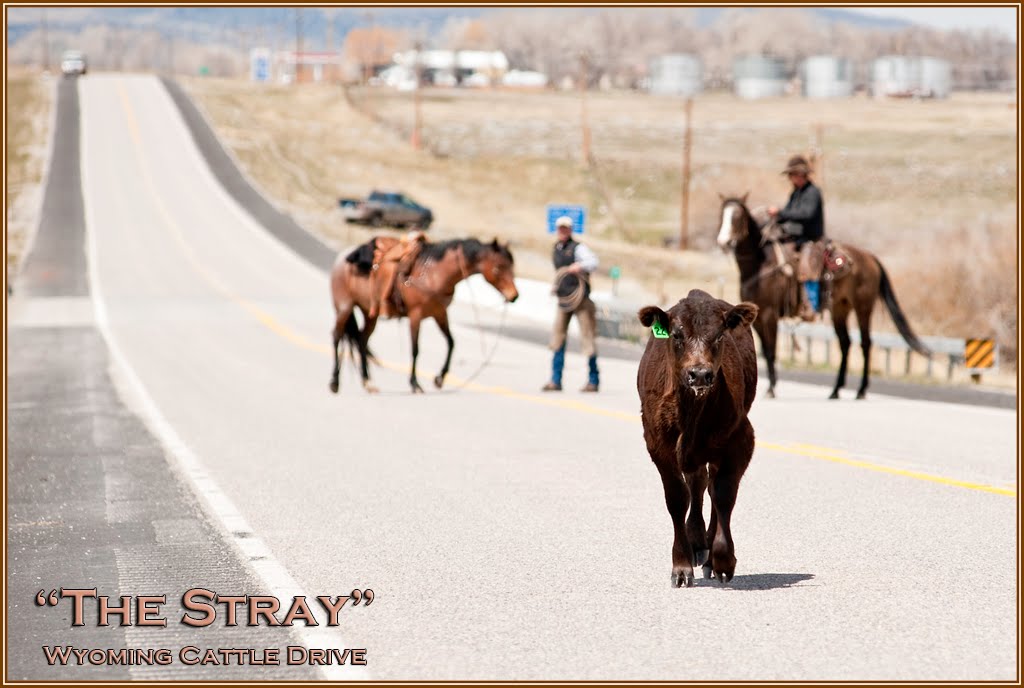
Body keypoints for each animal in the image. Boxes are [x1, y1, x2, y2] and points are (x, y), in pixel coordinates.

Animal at [637, 289, 759, 588]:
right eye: (676, 335)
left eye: (719, 335)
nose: (700, 374)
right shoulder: (658, 445)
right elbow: (677, 497)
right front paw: (681, 567)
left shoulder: (740, 440)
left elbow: (724, 493)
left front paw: (723, 560)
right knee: (697, 483)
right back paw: (696, 544)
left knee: (709, 486)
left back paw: (707, 553)